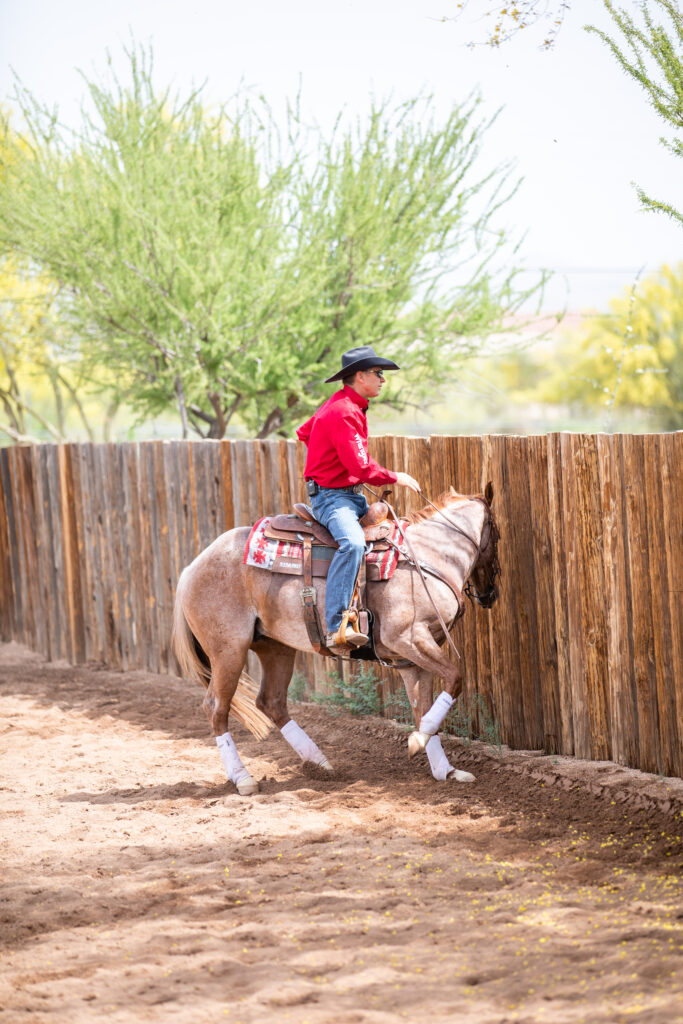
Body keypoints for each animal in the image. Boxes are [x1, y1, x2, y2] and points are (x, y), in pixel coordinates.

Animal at [171, 485, 501, 794]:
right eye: (496, 536)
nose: (490, 594)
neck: (424, 558)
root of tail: (190, 569)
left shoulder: (410, 659)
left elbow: (423, 708)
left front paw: (445, 770)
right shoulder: (408, 639)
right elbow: (455, 678)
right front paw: (420, 742)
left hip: (275, 648)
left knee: (271, 702)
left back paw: (320, 763)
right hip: (229, 652)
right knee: (216, 707)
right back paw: (243, 779)